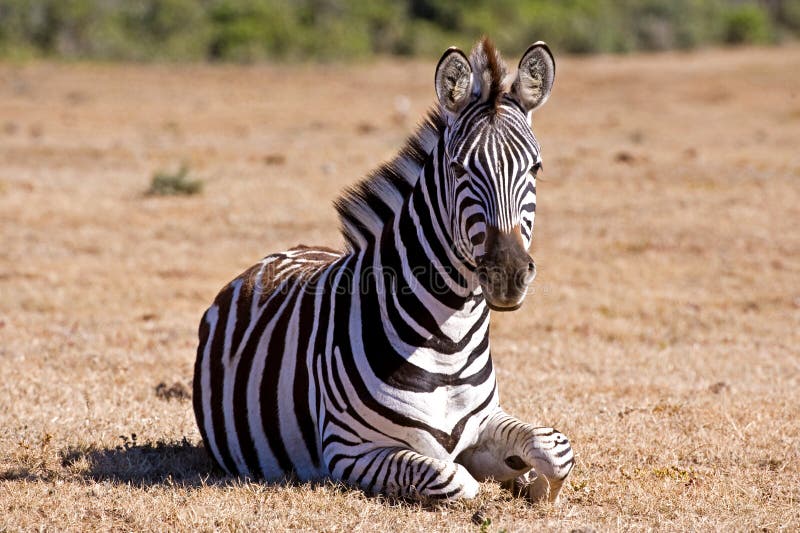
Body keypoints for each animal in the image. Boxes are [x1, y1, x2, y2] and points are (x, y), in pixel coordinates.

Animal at [193, 38, 574, 503]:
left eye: (536, 167)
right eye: (458, 168)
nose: (509, 273)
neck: (448, 342)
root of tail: (279, 254)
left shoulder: (487, 420)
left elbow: (556, 448)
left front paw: (532, 481)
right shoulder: (349, 449)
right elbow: (455, 478)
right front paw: (509, 478)